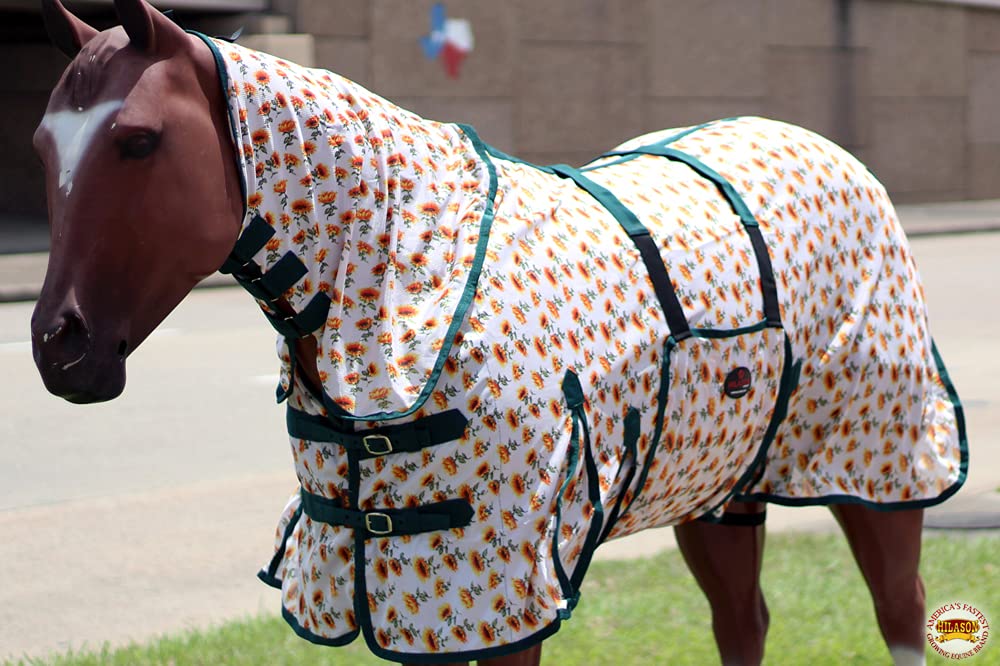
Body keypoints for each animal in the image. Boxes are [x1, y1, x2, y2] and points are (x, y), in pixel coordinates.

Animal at [30, 1, 966, 665]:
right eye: (41, 146)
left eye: (137, 139)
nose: (59, 348)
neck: (414, 286)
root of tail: (824, 147)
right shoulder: (404, 598)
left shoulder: (501, 590)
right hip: (716, 486)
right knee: (743, 622)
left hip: (878, 470)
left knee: (901, 611)